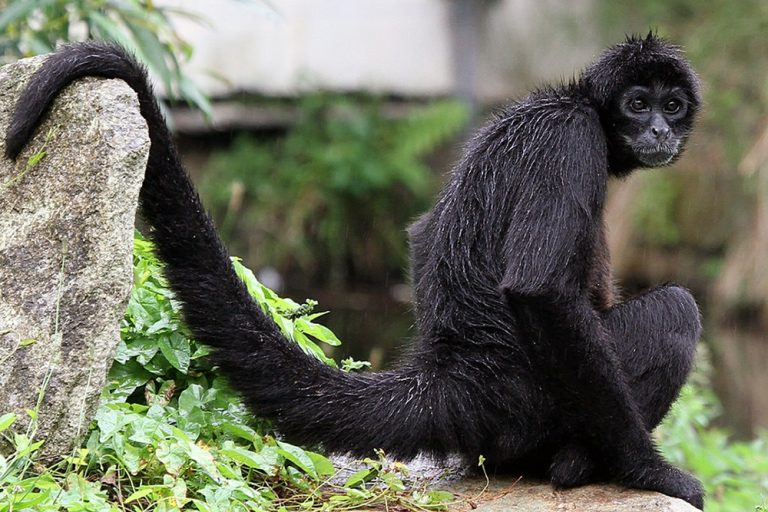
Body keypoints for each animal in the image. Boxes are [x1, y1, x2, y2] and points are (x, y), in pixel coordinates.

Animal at [4, 33, 704, 508]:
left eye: (671, 105)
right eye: (637, 104)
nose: (659, 129)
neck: (575, 101)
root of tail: (455, 378)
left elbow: (420, 234)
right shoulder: (570, 138)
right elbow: (542, 295)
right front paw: (651, 472)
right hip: (533, 408)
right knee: (677, 310)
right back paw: (576, 465)